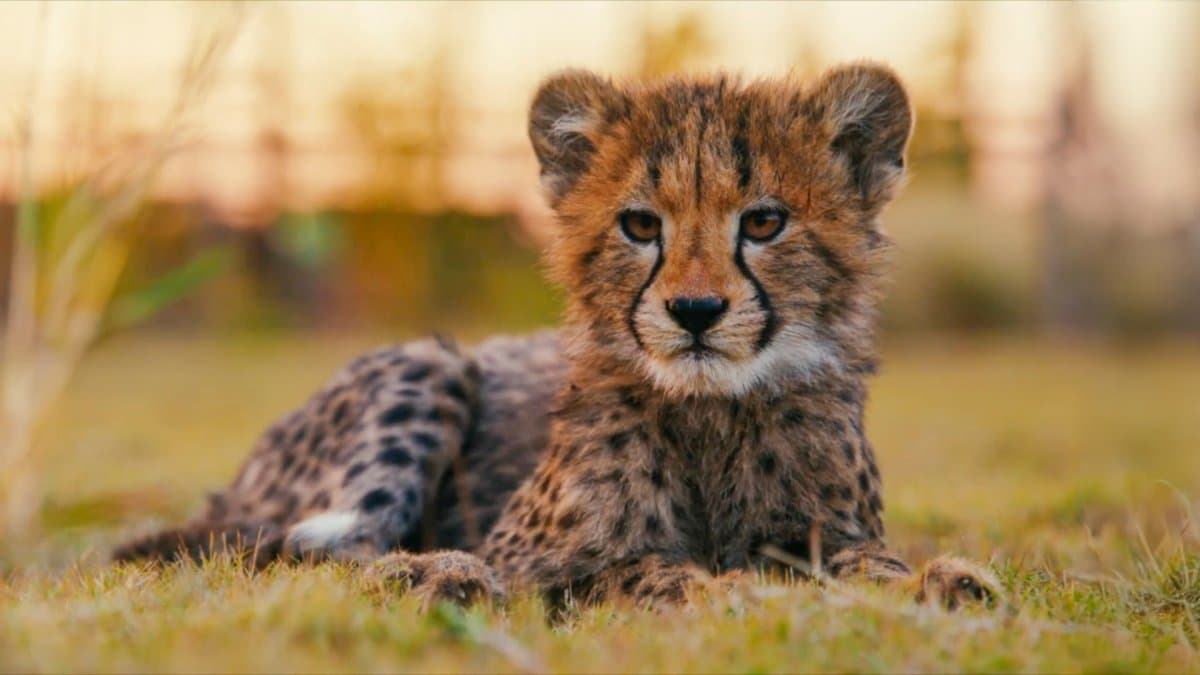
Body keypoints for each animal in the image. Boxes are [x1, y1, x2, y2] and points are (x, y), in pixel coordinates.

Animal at [113, 63, 1003, 612]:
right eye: (640, 224)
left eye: (764, 222)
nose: (696, 310)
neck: (712, 414)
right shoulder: (533, 561)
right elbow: (637, 568)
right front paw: (724, 589)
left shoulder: (830, 531)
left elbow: (872, 561)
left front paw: (946, 579)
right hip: (427, 366)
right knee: (328, 551)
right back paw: (439, 575)